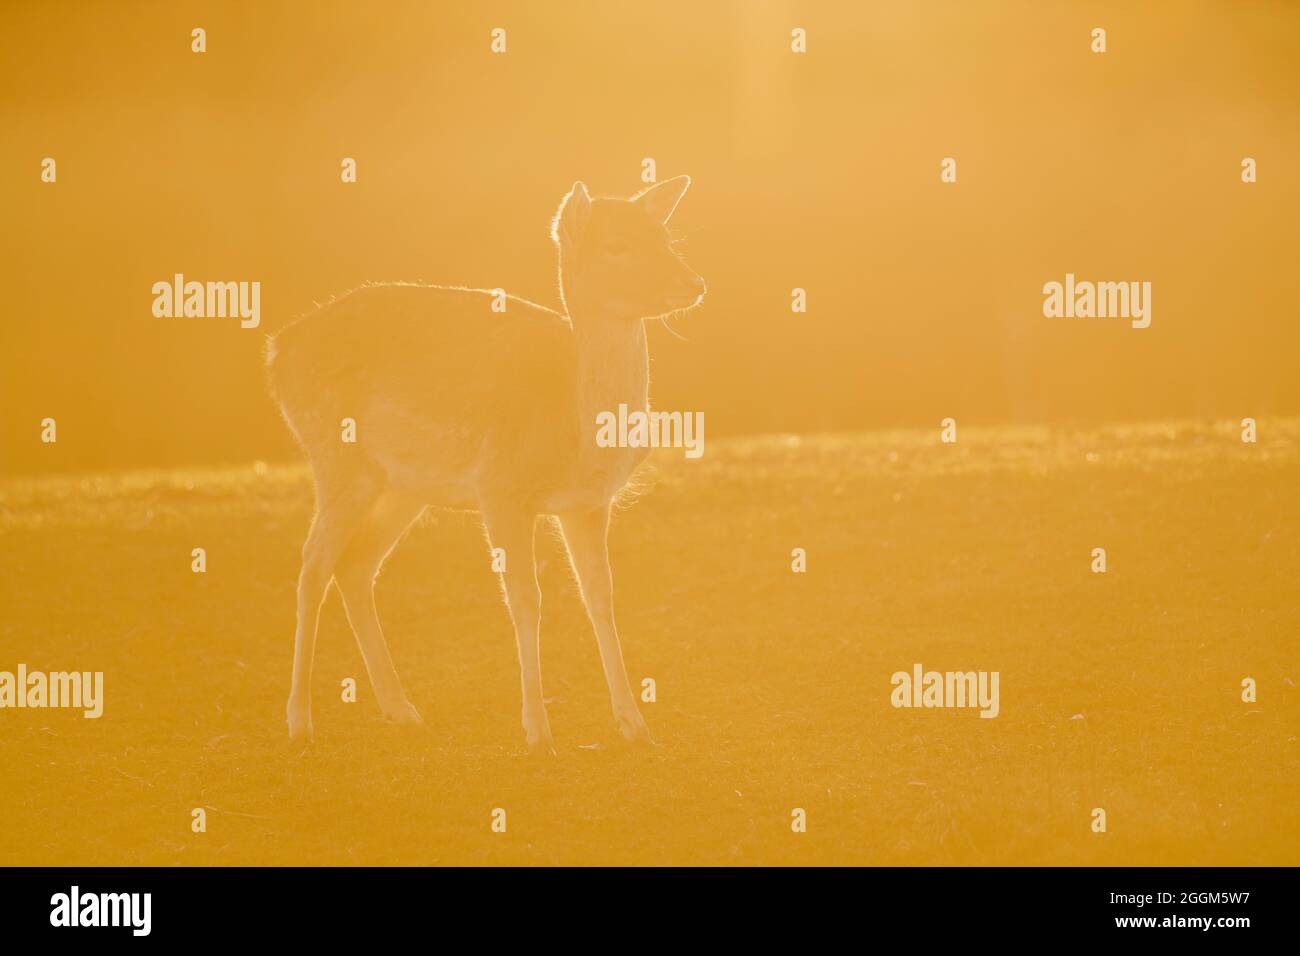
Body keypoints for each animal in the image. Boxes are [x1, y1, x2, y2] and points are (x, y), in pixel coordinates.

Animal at [266, 175, 705, 753]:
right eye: (617, 245)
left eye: (665, 237)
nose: (694, 283)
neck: (574, 423)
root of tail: (277, 349)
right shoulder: (501, 488)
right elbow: (525, 599)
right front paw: (538, 731)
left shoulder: (587, 504)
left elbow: (600, 597)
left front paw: (634, 724)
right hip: (337, 457)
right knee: (313, 563)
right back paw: (299, 719)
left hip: (402, 484)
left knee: (354, 565)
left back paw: (401, 709)